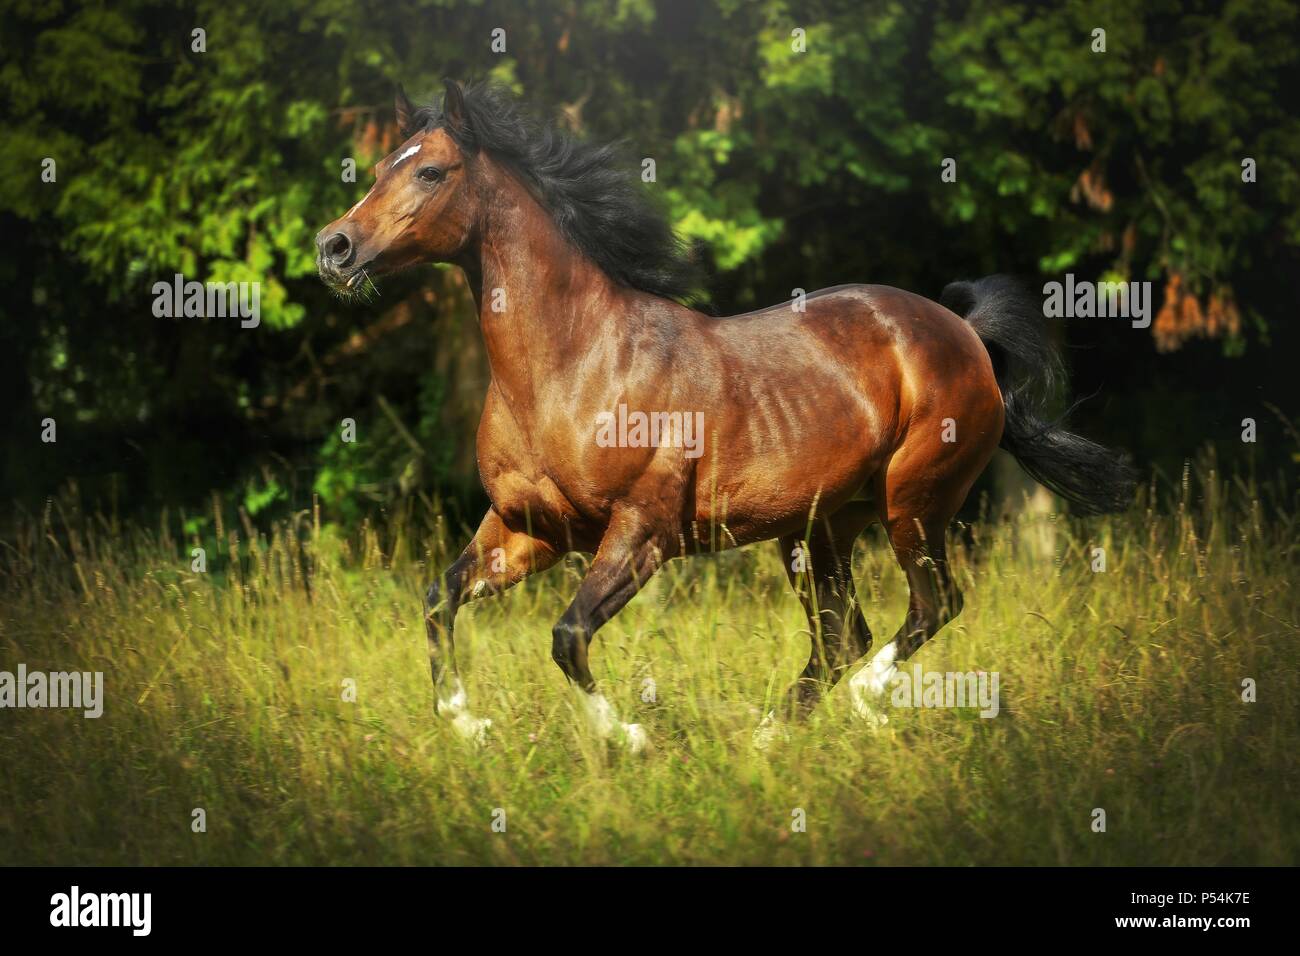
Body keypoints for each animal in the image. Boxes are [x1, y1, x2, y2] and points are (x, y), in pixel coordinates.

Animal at [315, 80, 1136, 750]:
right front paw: (468, 724)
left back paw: (863, 707)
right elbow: (439, 598)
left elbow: (567, 635)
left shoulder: (641, 531)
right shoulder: (526, 530)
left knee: (932, 605)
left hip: (915, 504)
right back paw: (770, 739)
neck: (573, 364)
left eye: (430, 171)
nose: (334, 247)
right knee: (842, 634)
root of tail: (964, 333)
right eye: (382, 166)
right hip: (818, 531)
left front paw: (630, 739)